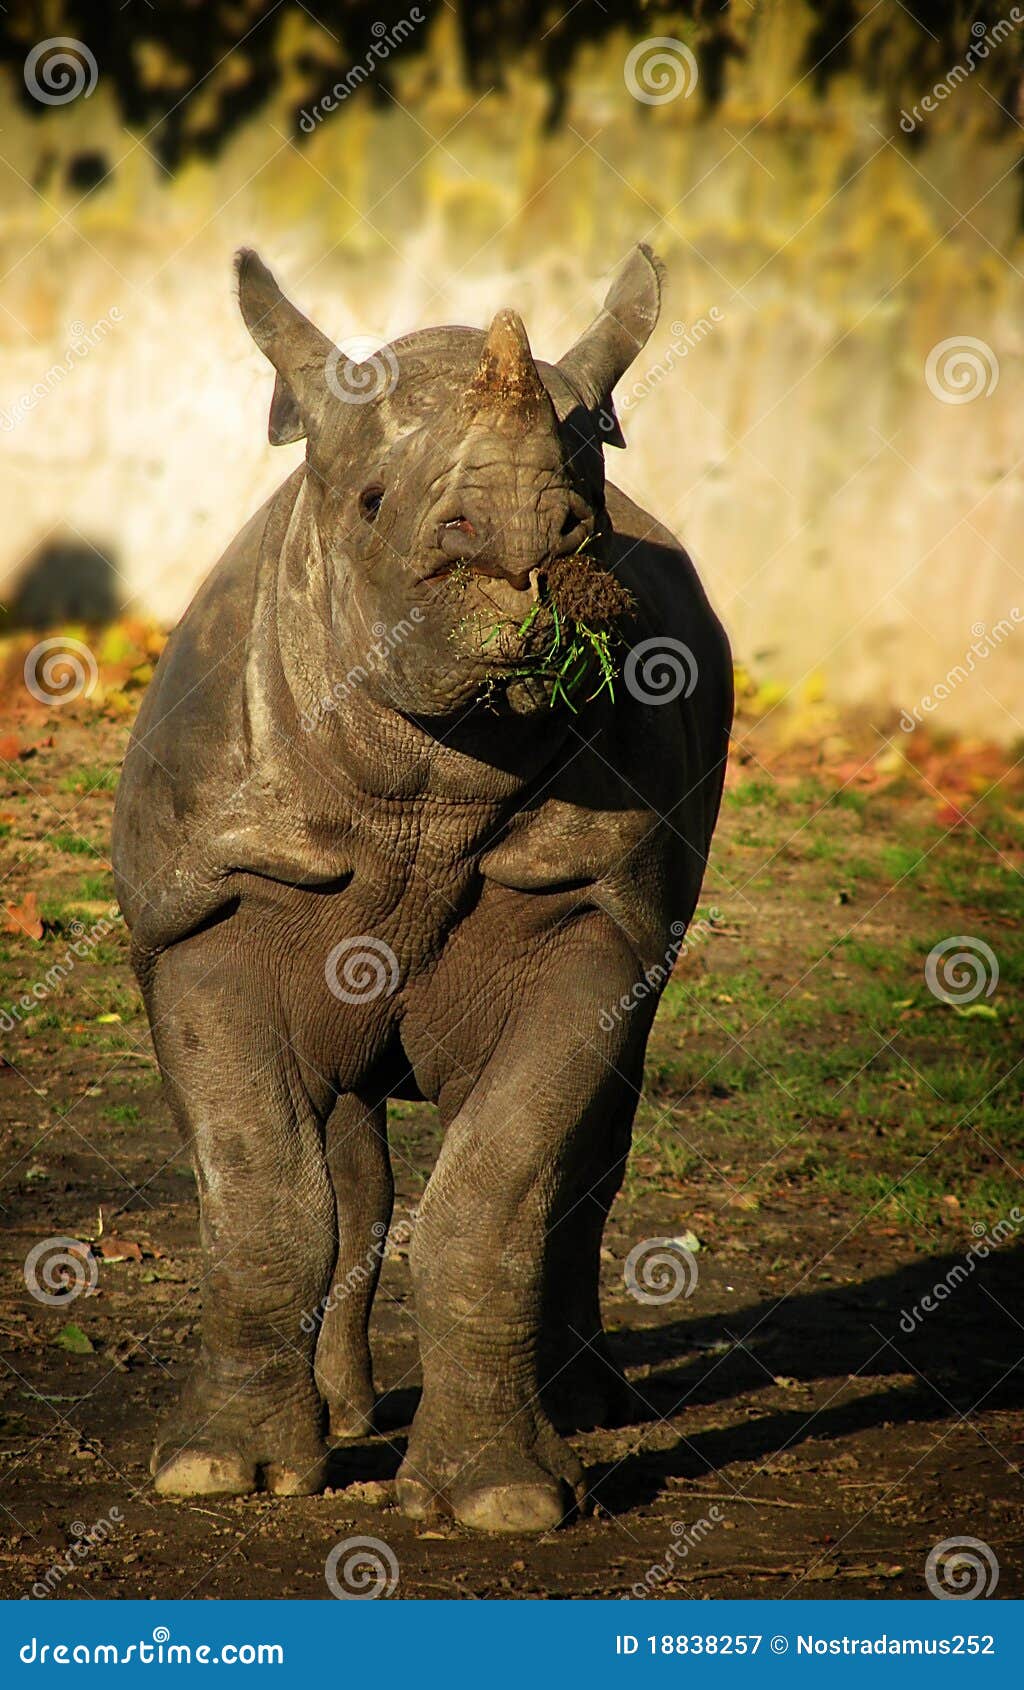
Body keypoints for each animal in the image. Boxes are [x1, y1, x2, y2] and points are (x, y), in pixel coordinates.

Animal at [111, 245, 732, 1534]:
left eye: (586, 500)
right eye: (369, 503)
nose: (528, 539)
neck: (427, 785)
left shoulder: (591, 917)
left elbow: (498, 1190)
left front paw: (500, 1498)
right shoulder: (207, 903)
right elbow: (261, 1186)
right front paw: (220, 1470)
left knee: (592, 1137)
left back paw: (584, 1406)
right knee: (342, 1154)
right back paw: (345, 1418)